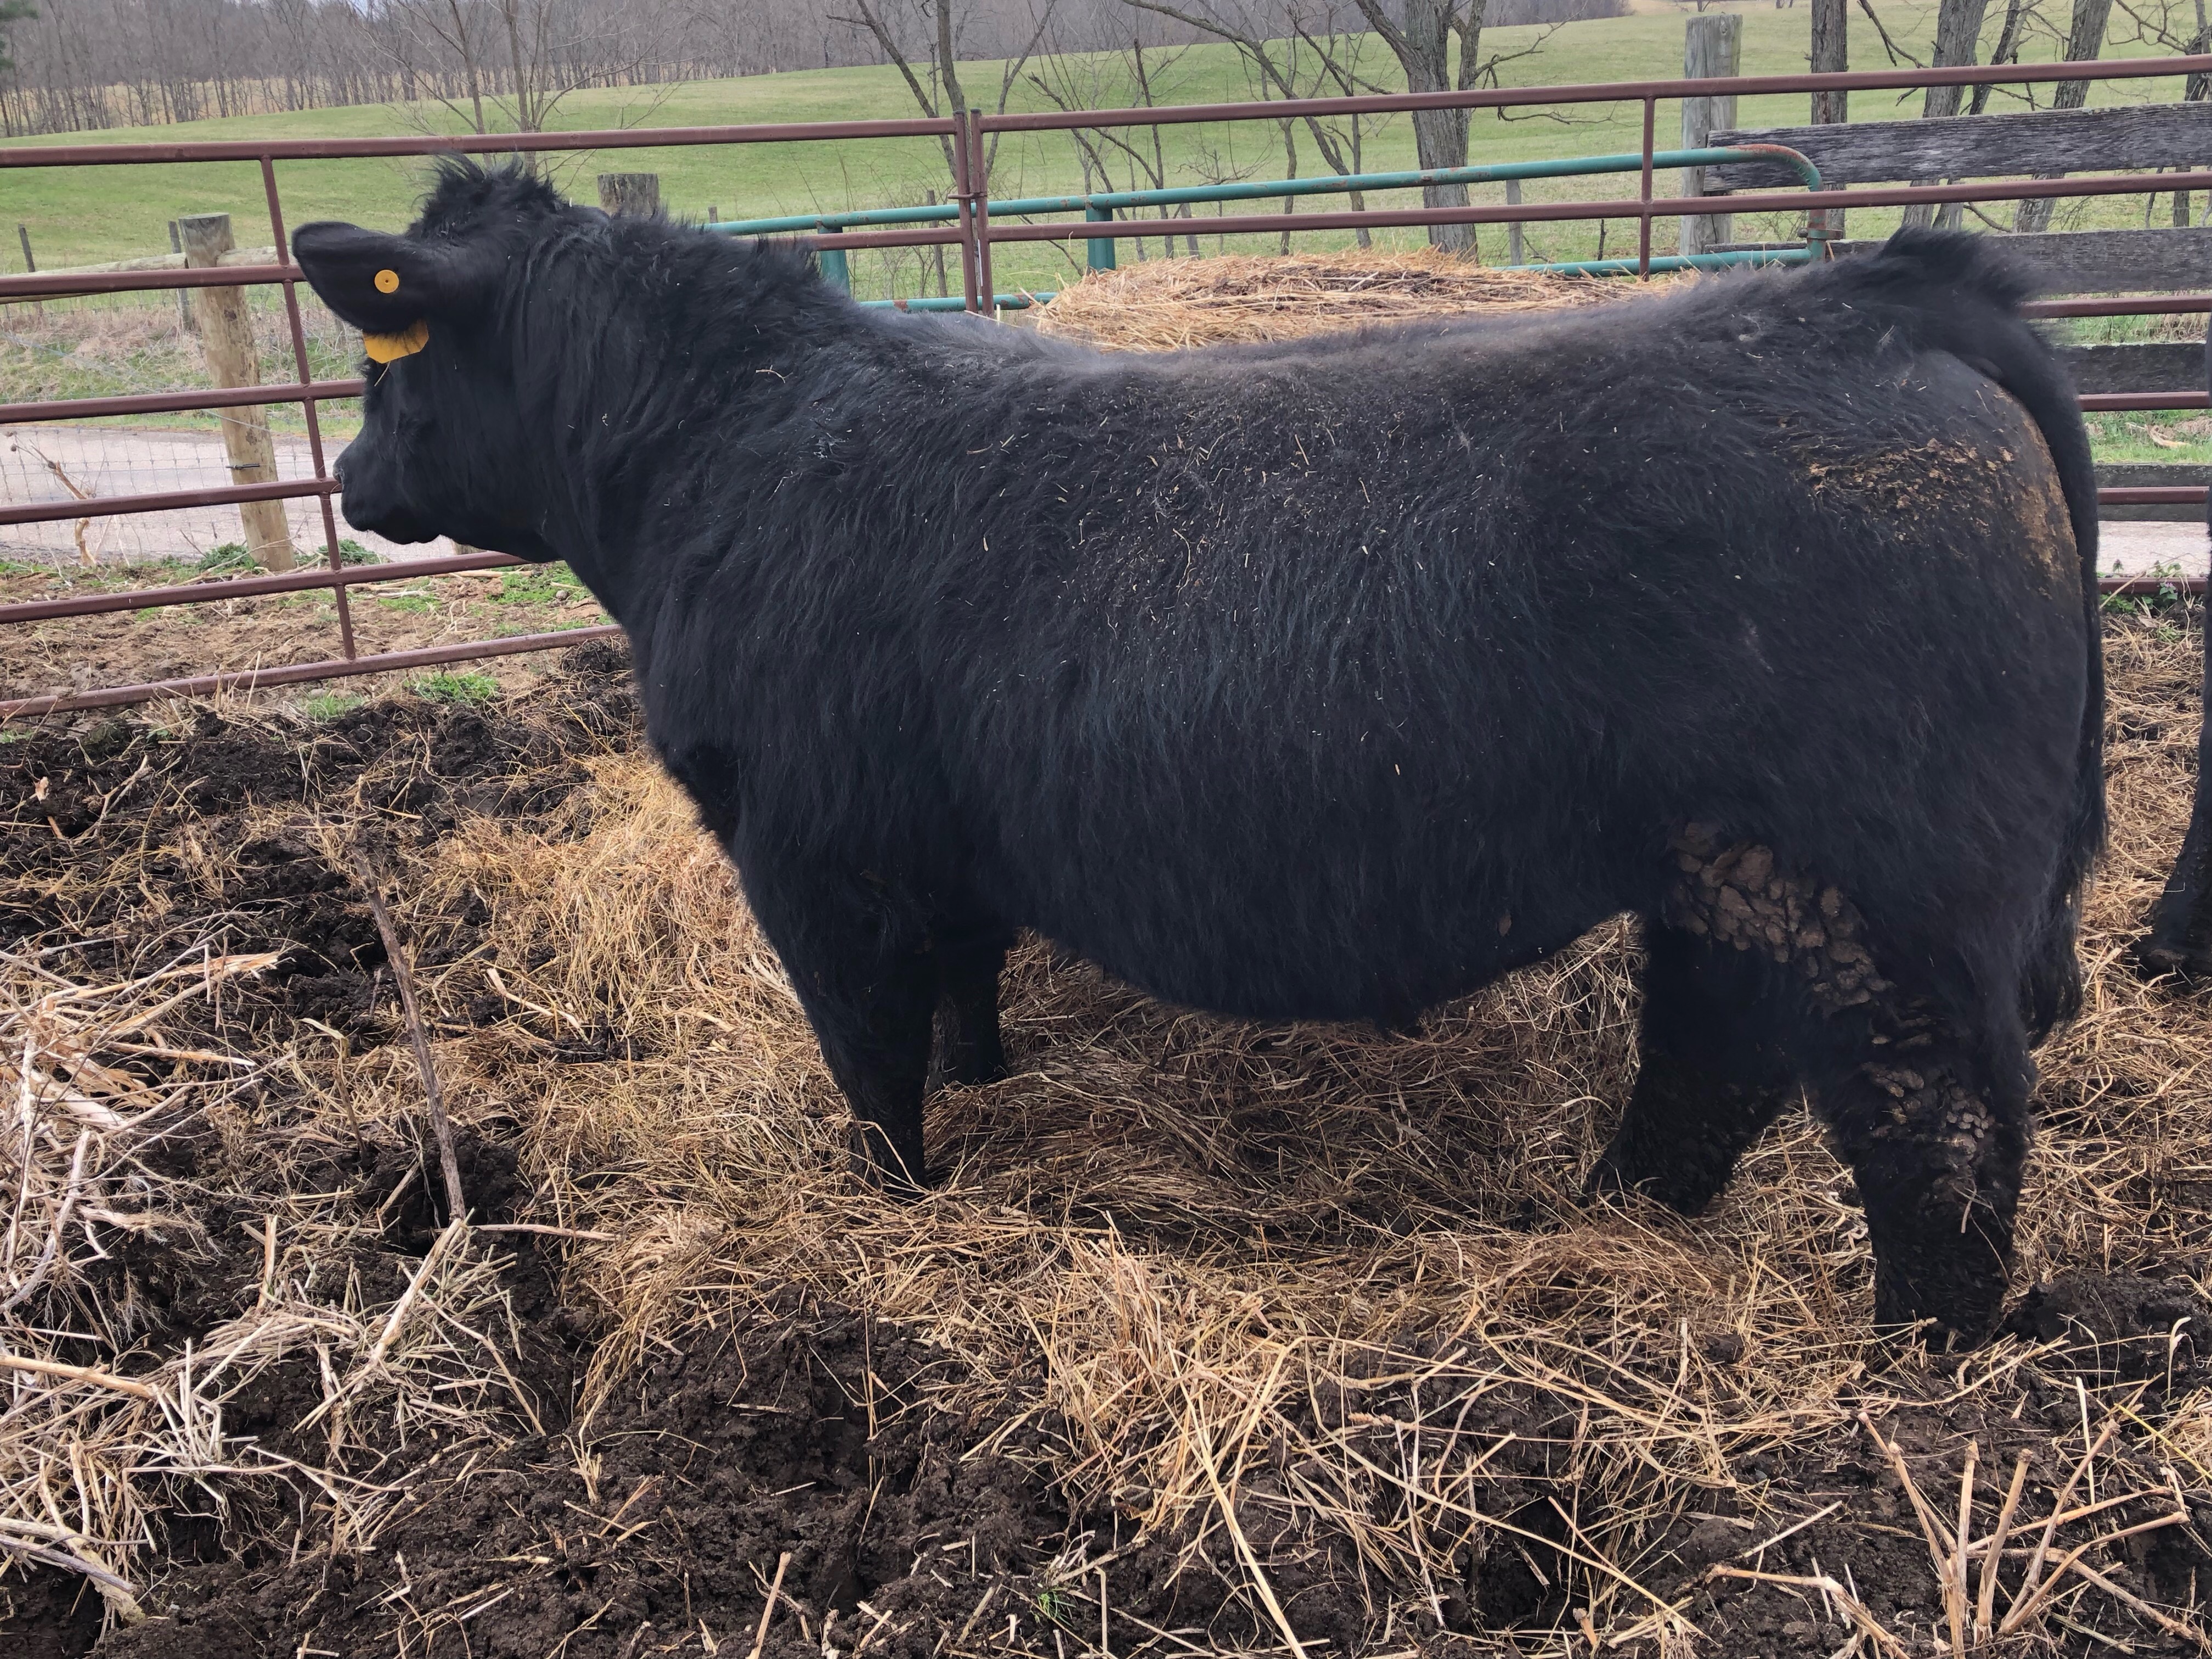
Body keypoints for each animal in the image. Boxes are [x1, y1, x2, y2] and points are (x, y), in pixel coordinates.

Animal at [296, 161, 2118, 1347]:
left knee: (1935, 1133)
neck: (710, 453)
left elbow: (868, 1057)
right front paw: (989, 1086)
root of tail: (1874, 302)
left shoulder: (809, 850)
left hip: (1882, 892)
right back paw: (1610, 1216)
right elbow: (962, 991)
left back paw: (1914, 1374)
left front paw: (895, 1199)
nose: (345, 480)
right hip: (1729, 874)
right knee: (1711, 1064)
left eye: (390, 365)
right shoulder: (942, 855)